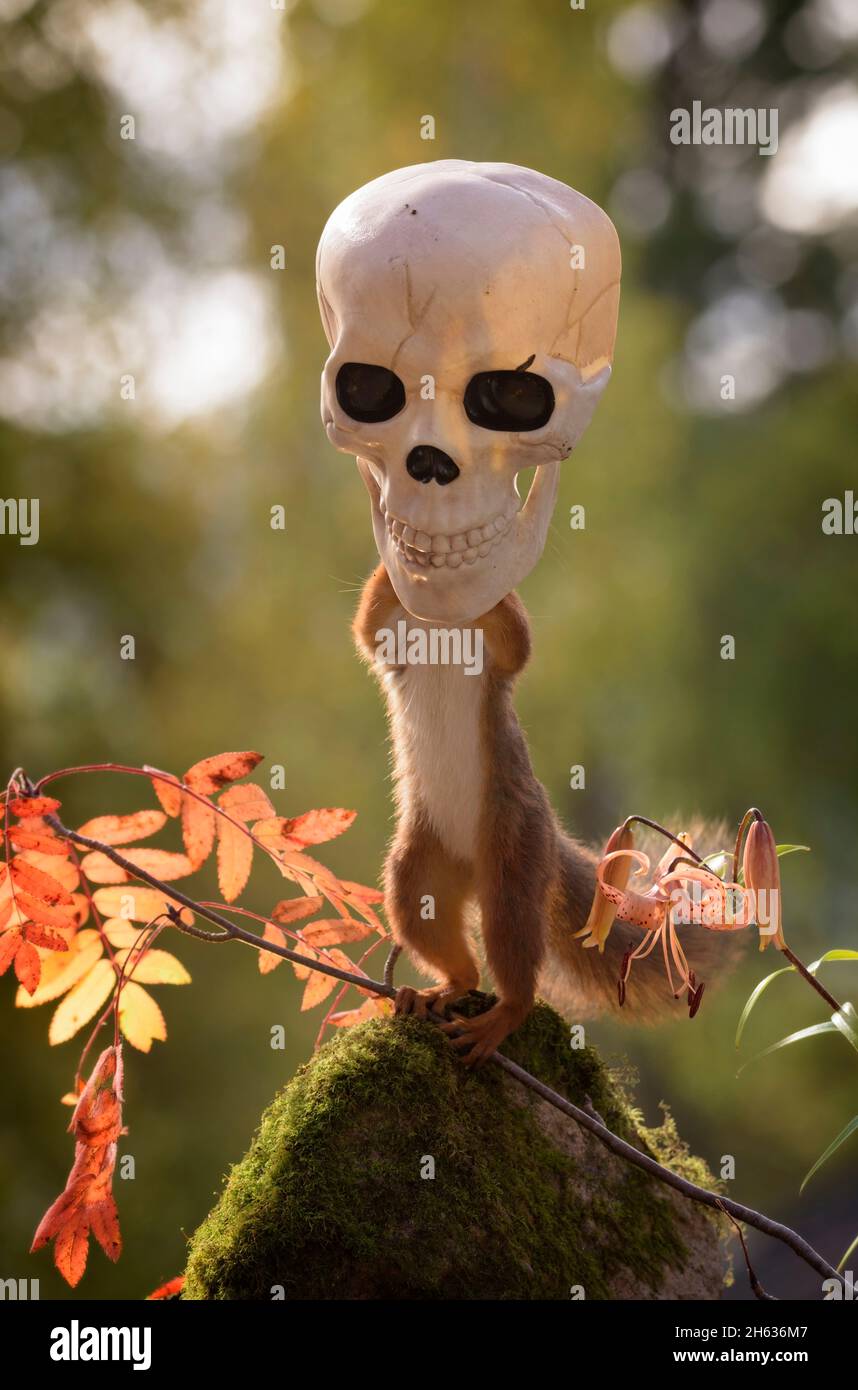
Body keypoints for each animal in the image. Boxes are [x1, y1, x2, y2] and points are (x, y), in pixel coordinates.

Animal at [354, 561, 735, 1065]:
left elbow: (516, 643)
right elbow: (368, 628)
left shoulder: (497, 660)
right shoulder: (392, 644)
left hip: (515, 852)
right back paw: (439, 989)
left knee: (513, 953)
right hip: (421, 872)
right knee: (442, 940)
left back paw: (499, 1018)